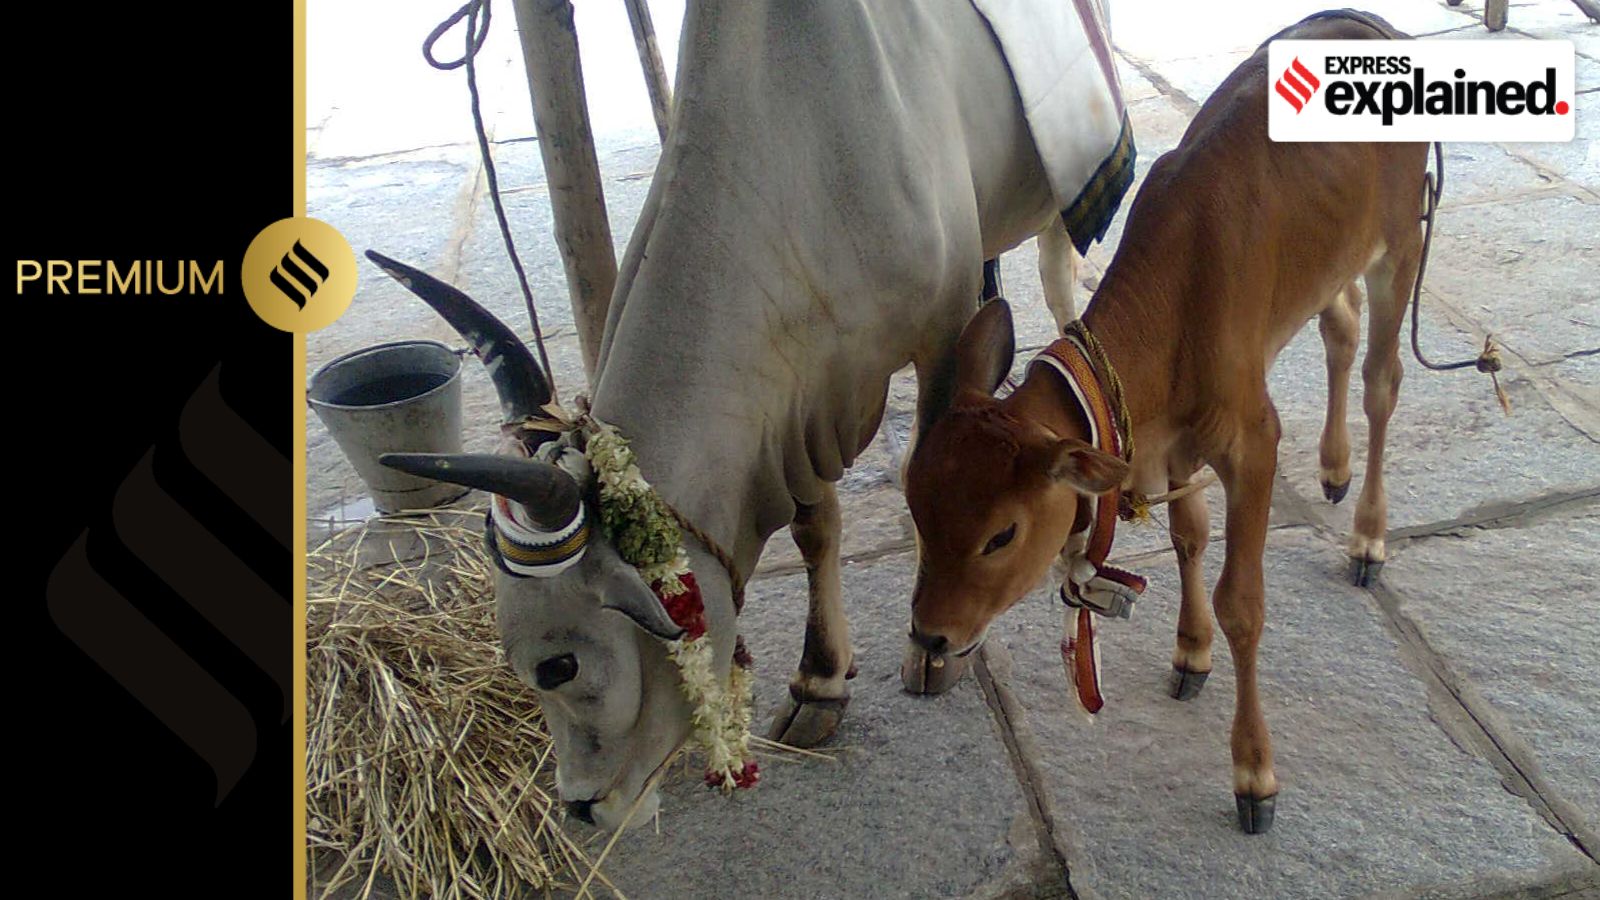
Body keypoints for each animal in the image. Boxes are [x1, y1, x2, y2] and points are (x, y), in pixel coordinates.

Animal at [364, 0, 1132, 830]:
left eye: (558, 664)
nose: (583, 808)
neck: (804, 158)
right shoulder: (799, 399)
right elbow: (814, 526)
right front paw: (821, 680)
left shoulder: (943, 327)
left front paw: (934, 654)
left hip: (1058, 201)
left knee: (1061, 283)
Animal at [901, 10, 1433, 834]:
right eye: (917, 510)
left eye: (1000, 535)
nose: (931, 632)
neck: (1177, 305)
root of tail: (1370, 25)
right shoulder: (1173, 447)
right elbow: (1189, 539)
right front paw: (1190, 652)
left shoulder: (1252, 438)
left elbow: (1242, 601)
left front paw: (1254, 773)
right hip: (1329, 264)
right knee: (1339, 328)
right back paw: (1334, 469)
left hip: (1400, 242)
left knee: (1383, 381)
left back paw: (1368, 535)